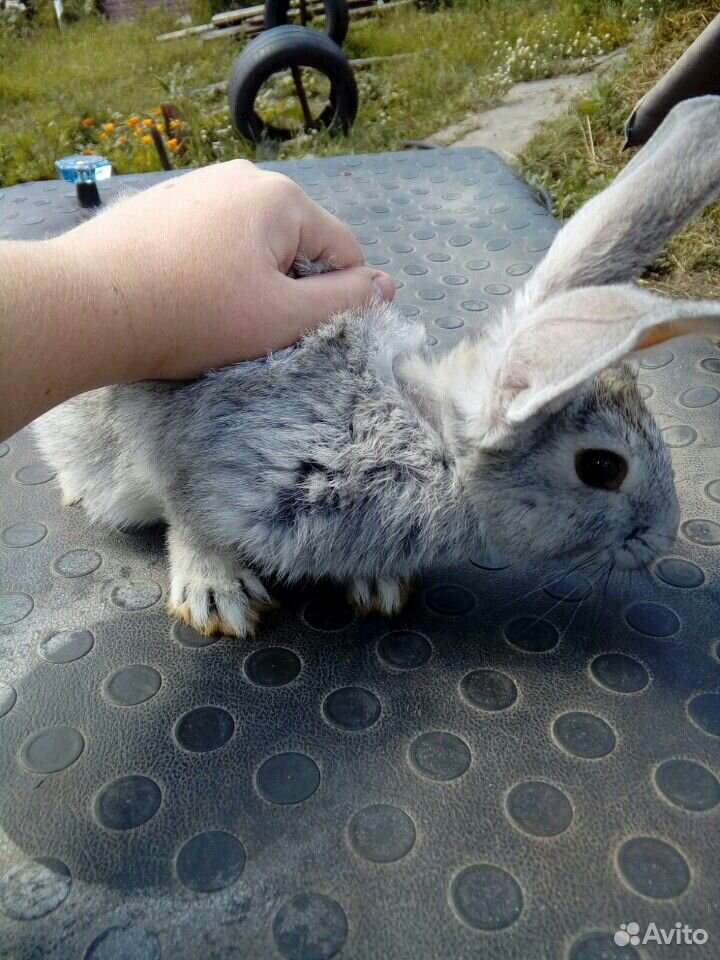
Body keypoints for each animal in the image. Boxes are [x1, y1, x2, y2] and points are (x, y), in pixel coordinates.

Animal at [35, 96, 720, 639]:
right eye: (602, 467)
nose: (665, 535)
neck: (421, 436)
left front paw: (379, 585)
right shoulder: (199, 449)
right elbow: (189, 521)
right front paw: (217, 597)